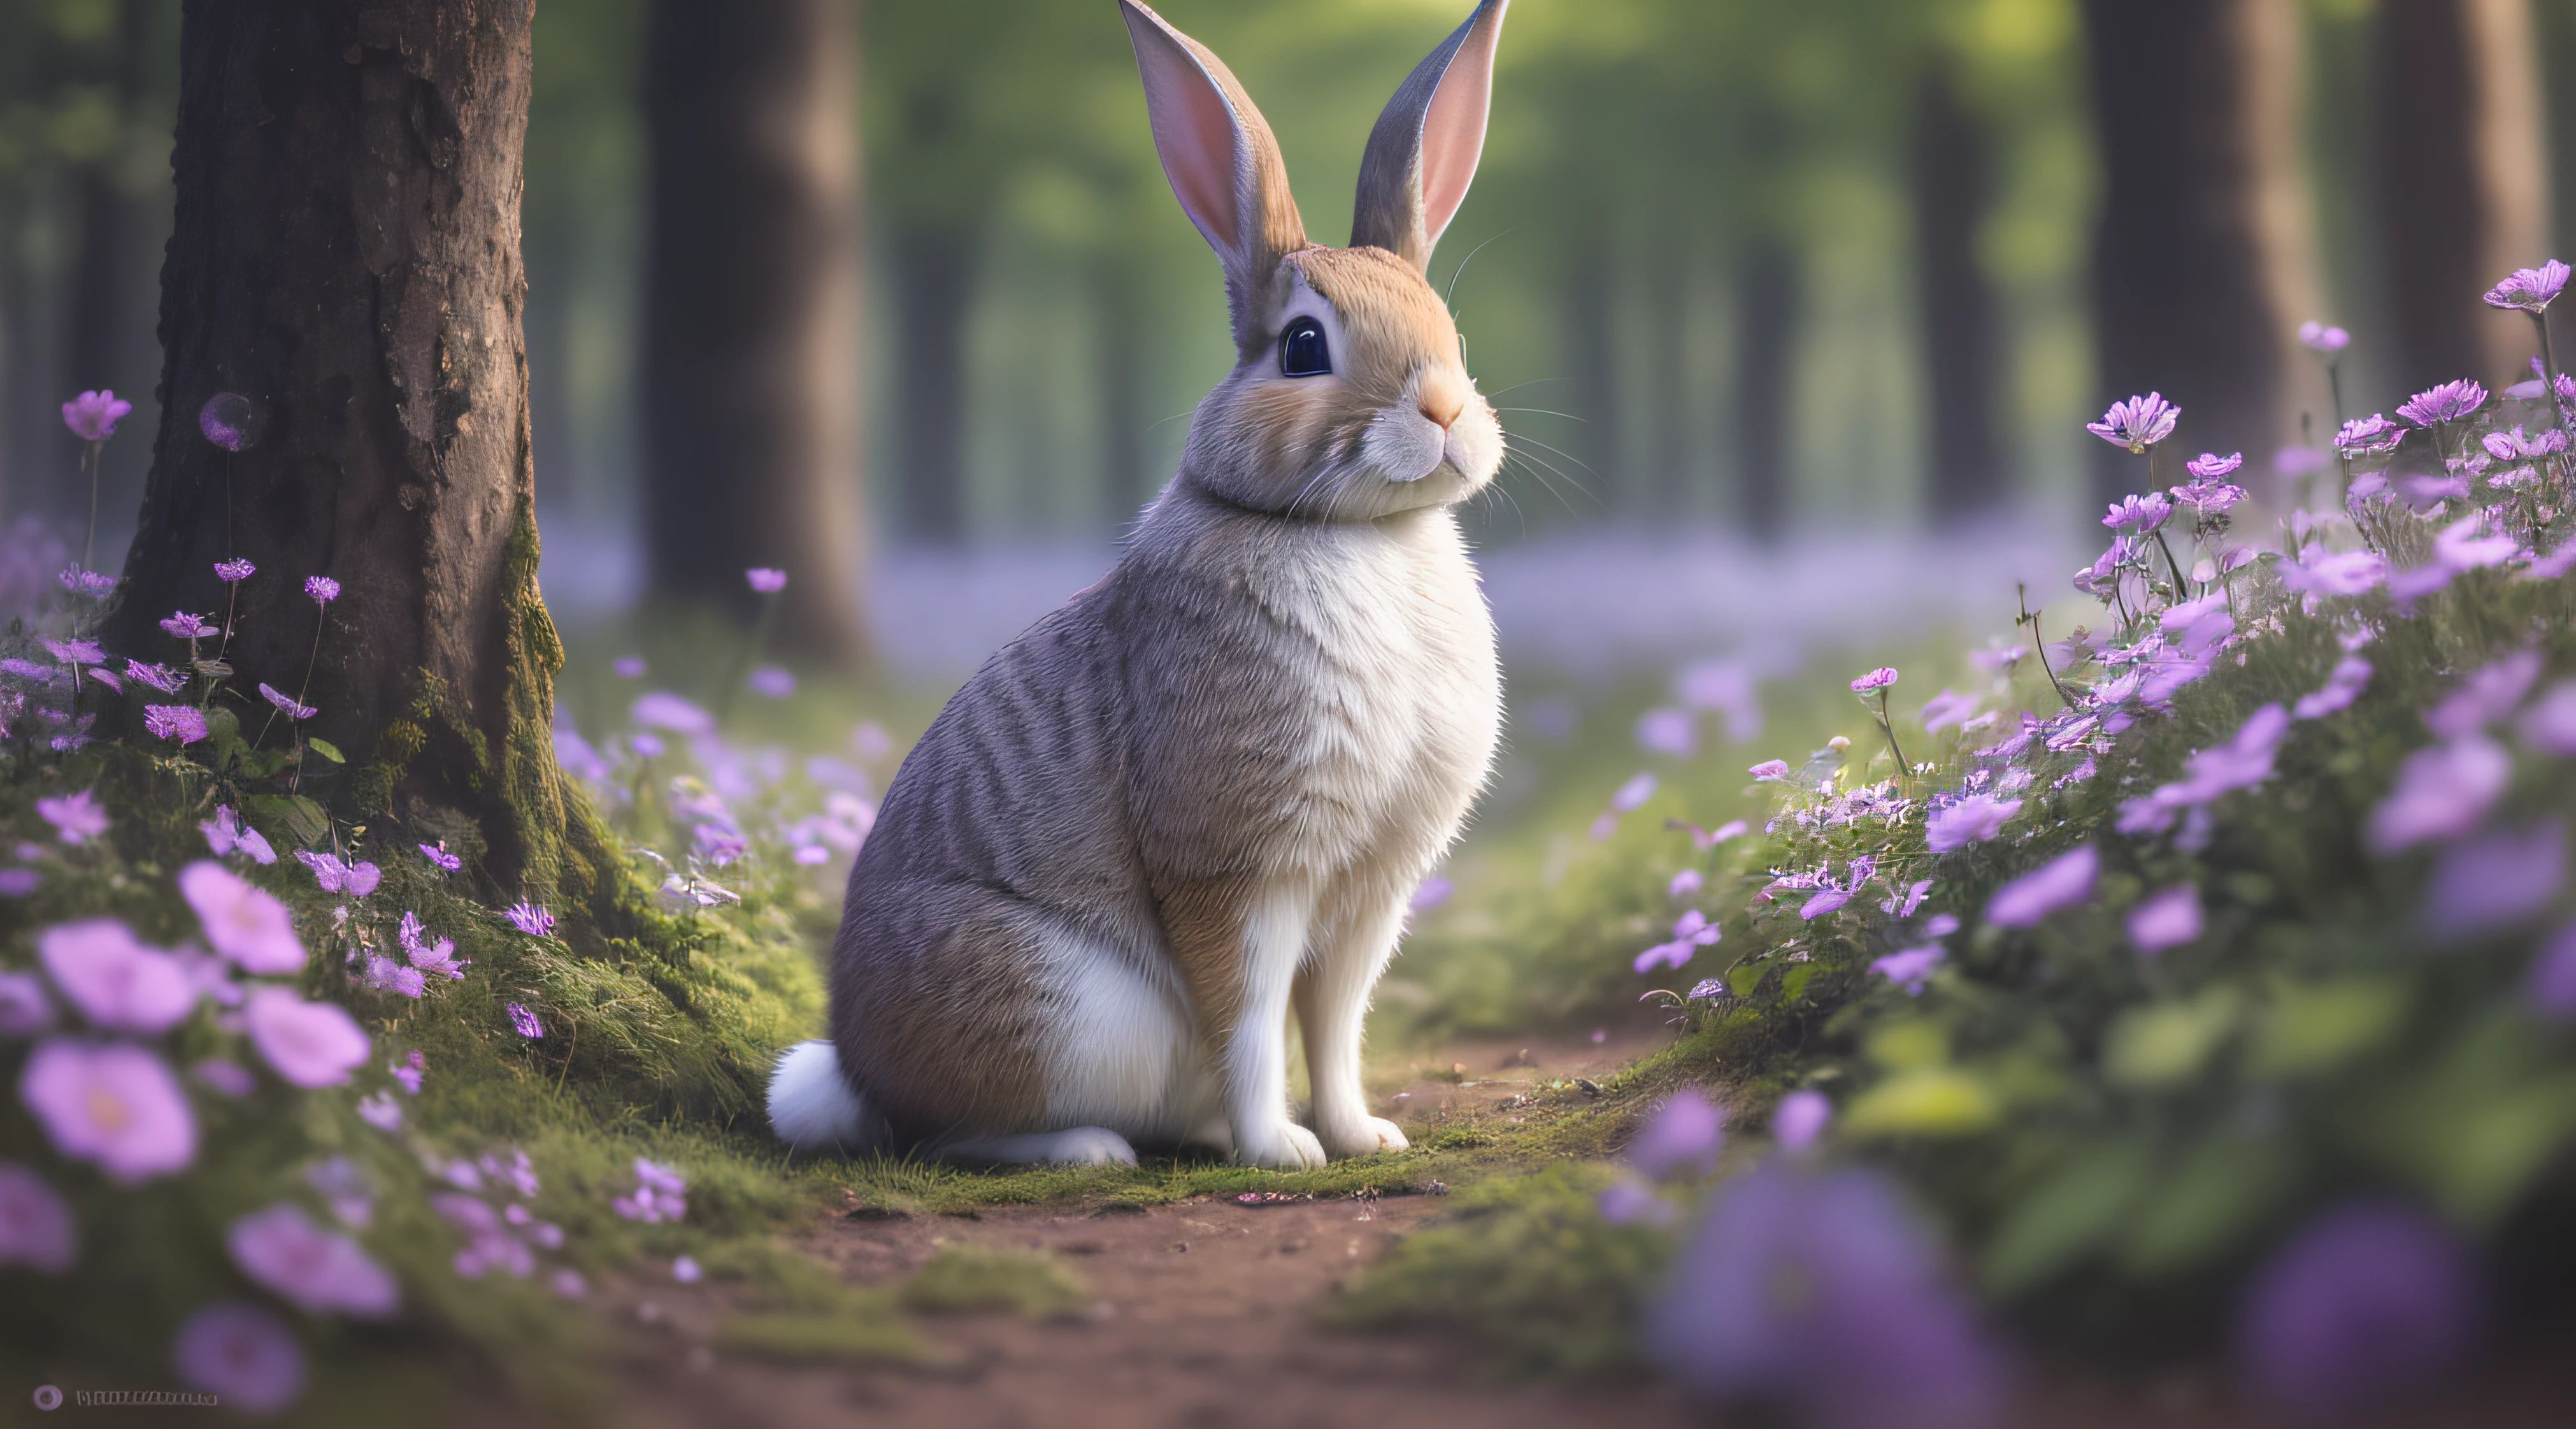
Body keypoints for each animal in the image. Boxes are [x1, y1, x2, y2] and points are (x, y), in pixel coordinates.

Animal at [767, 0, 1511, 1170]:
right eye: (1304, 346)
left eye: (1452, 333)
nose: (1441, 408)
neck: (1358, 532)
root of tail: (853, 1065)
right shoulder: (1236, 866)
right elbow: (1249, 1018)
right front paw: (1280, 1149)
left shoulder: (1369, 888)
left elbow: (1334, 1021)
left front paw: (1363, 1135)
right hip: (1063, 1006)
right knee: (948, 1130)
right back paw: (1086, 1149)